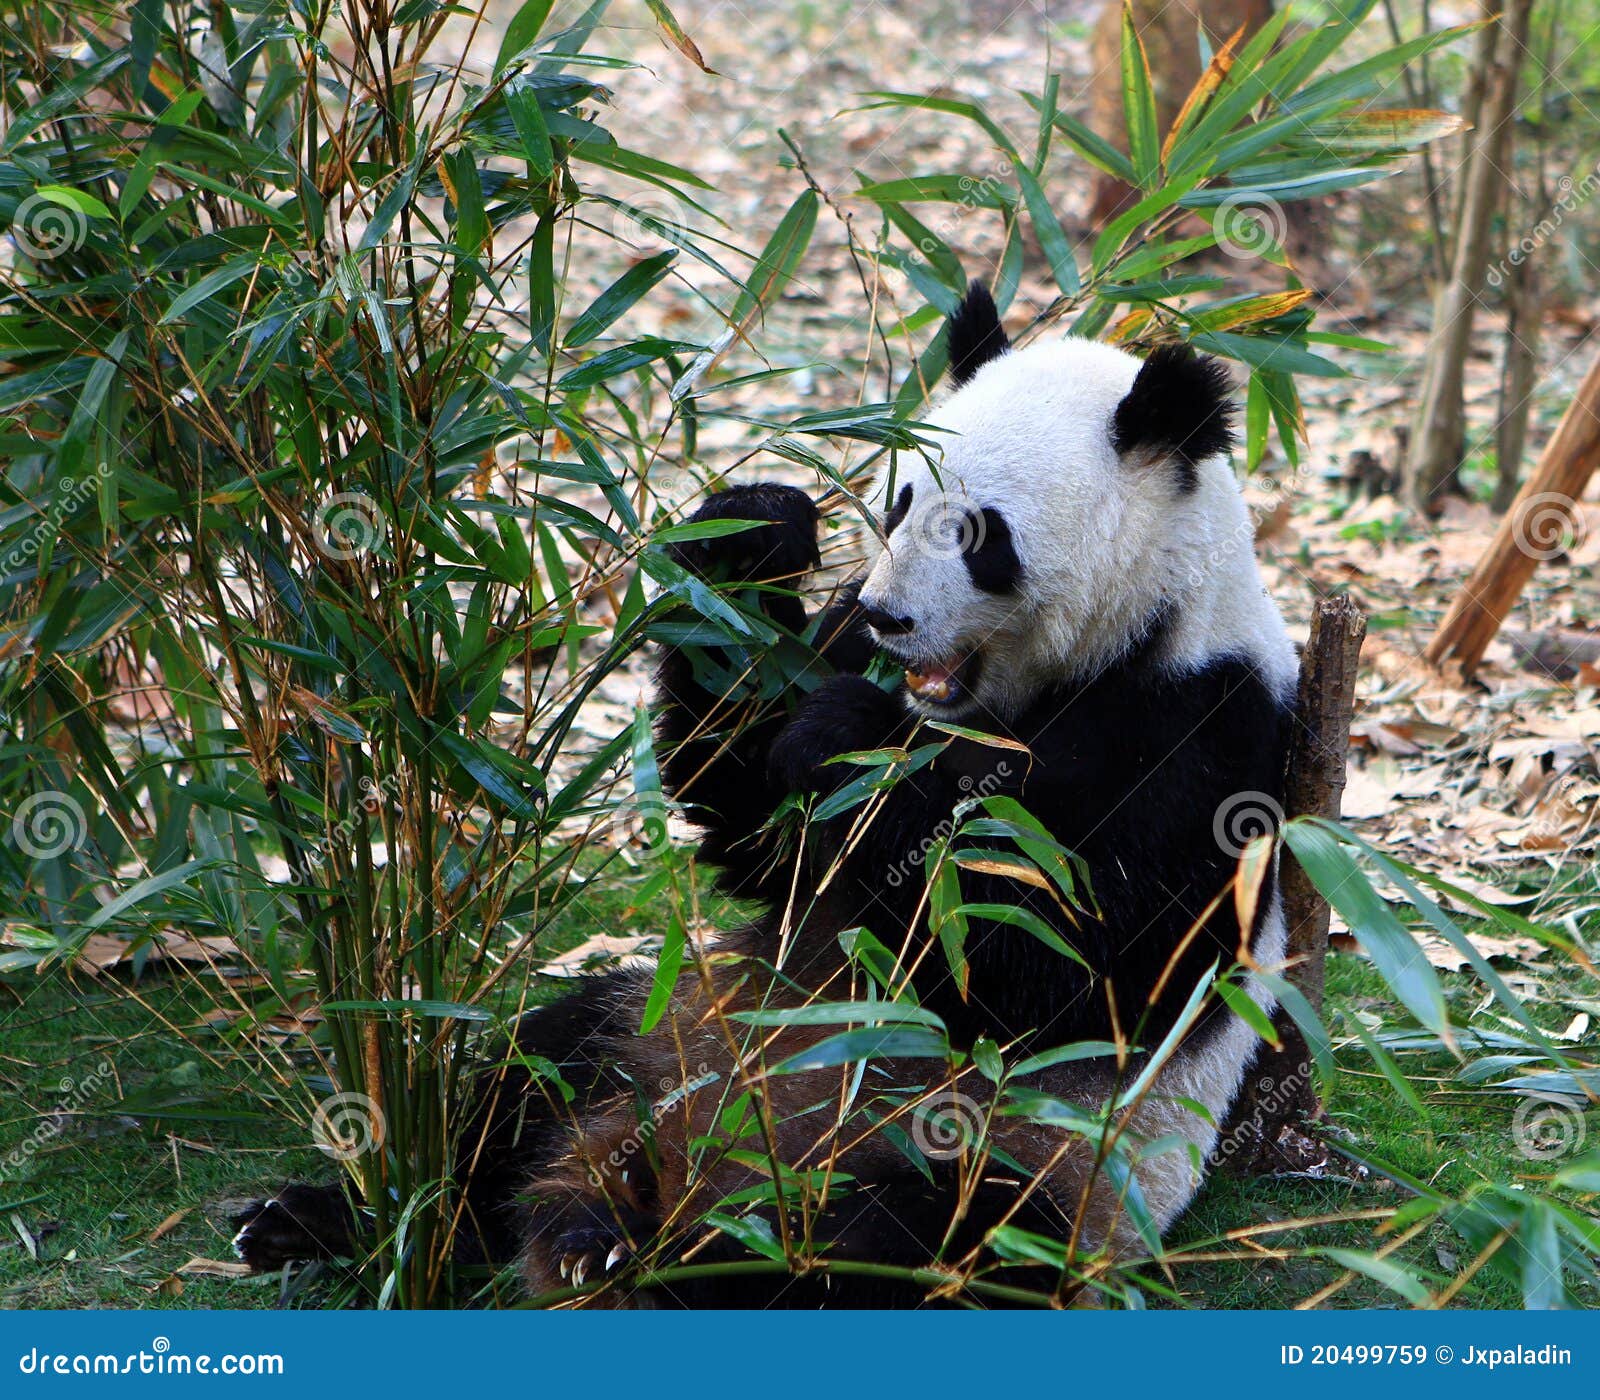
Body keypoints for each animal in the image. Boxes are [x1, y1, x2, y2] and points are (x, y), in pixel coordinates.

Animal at [233, 281, 1298, 1307]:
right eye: (898, 503)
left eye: (977, 534)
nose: (889, 615)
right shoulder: (844, 656)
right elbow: (761, 837)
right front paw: (754, 531)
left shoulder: (1200, 739)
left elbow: (1066, 960)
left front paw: (852, 739)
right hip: (674, 1017)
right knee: (537, 1073)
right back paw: (373, 1221)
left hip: (1018, 1156)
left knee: (895, 1248)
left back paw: (657, 1257)